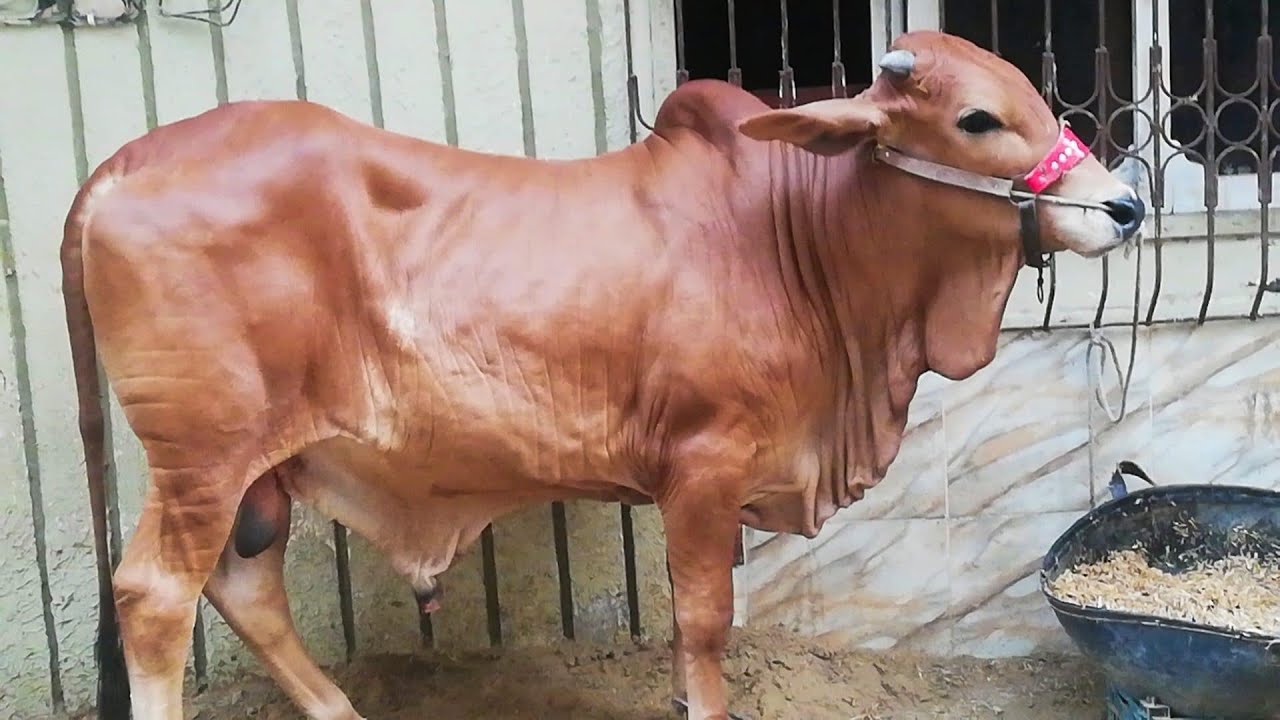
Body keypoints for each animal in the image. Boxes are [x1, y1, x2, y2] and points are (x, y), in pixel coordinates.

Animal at [60, 30, 1143, 720]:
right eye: (975, 118)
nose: (1125, 205)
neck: (797, 234)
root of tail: (120, 164)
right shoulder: (703, 465)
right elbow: (703, 622)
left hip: (259, 472)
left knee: (243, 588)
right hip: (205, 455)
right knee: (155, 597)